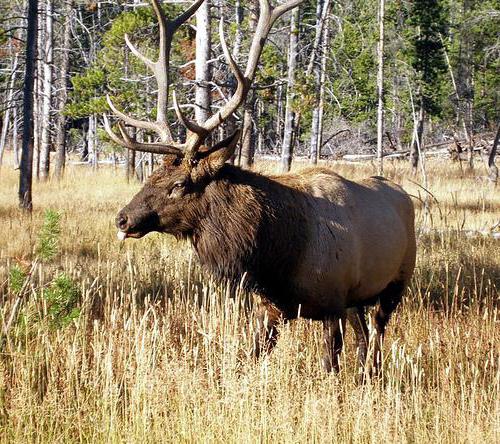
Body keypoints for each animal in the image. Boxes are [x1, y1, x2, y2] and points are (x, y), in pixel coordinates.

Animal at [106, 0, 418, 374]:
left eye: (179, 184)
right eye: (151, 175)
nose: (123, 218)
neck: (277, 254)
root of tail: (404, 196)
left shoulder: (332, 302)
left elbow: (329, 364)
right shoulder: (271, 307)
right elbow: (252, 357)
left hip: (396, 283)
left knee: (377, 333)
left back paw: (373, 373)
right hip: (359, 297)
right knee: (365, 336)